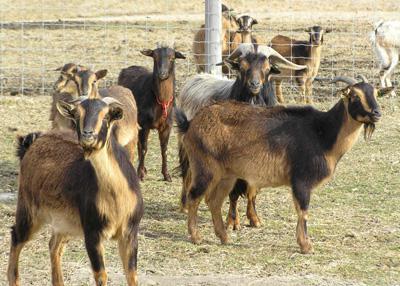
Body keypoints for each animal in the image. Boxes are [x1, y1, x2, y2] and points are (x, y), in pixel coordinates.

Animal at [7, 96, 144, 286]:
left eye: (106, 116)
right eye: (77, 115)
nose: (88, 134)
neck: (117, 196)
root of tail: (33, 143)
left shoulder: (130, 233)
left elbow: (132, 275)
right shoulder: (92, 233)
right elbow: (101, 275)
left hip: (65, 222)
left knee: (54, 245)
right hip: (29, 209)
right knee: (17, 236)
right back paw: (14, 278)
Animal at [117, 43, 186, 181]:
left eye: (172, 58)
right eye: (155, 57)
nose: (162, 74)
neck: (161, 102)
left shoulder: (167, 125)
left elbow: (164, 149)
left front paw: (166, 175)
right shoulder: (144, 124)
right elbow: (144, 148)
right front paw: (140, 175)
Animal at [174, 75, 390, 252]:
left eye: (375, 93)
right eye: (354, 96)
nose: (377, 113)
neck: (323, 133)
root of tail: (191, 124)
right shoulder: (301, 180)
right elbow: (303, 211)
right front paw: (306, 246)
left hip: (227, 175)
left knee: (214, 201)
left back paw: (224, 237)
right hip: (205, 168)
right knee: (194, 197)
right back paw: (196, 237)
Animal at [176, 44, 306, 229]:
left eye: (267, 68)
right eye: (243, 67)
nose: (254, 84)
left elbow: (252, 191)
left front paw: (254, 218)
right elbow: (234, 191)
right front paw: (232, 221)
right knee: (187, 173)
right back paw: (185, 205)